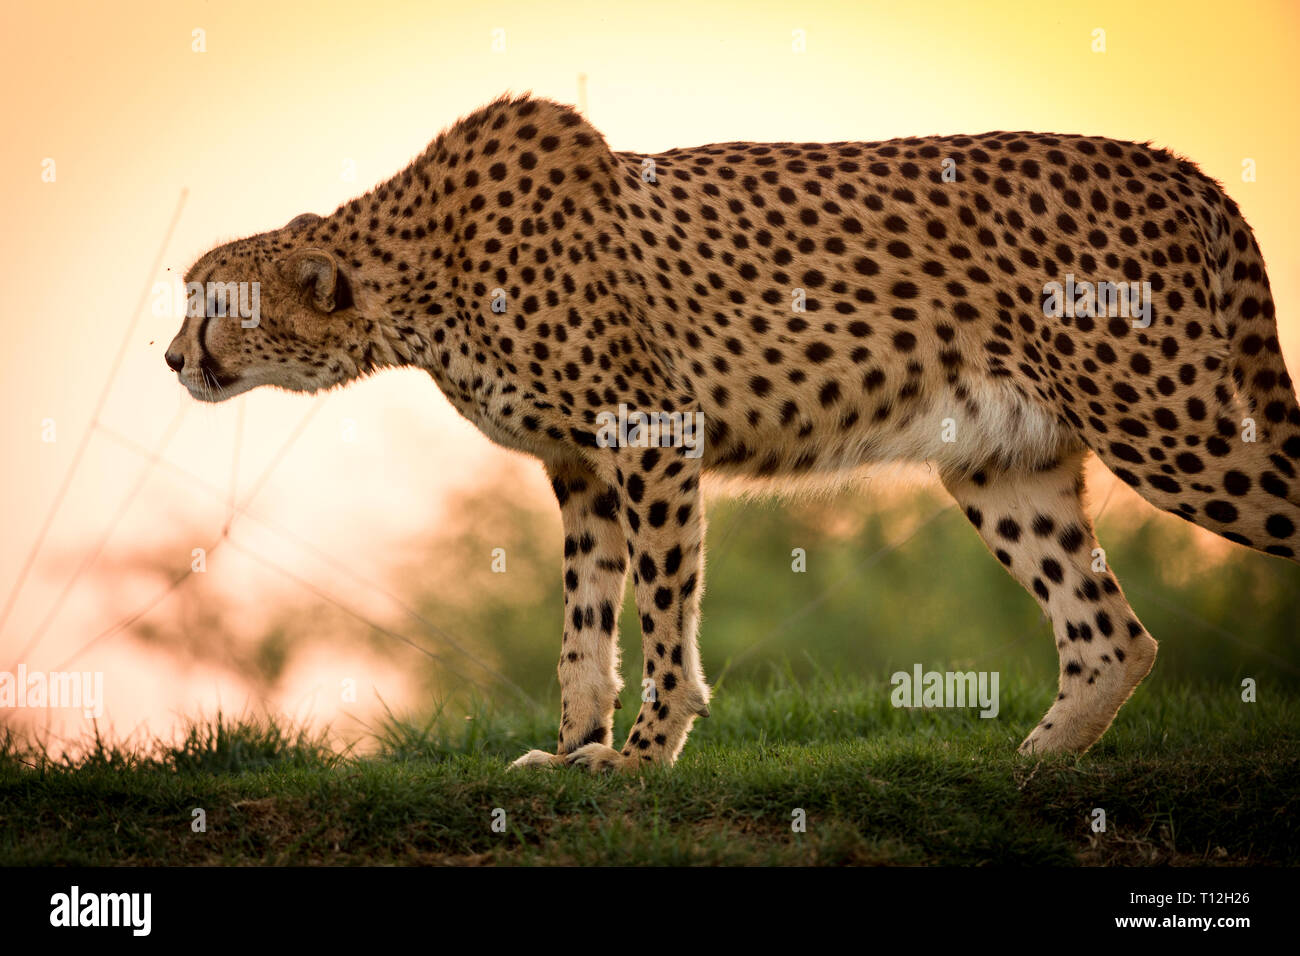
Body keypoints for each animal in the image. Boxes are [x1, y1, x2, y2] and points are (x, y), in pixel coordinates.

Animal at [165, 93, 1300, 771]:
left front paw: (642, 757)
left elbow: (663, 613)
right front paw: (572, 755)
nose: (172, 357)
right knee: (1111, 634)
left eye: (214, 303)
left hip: (1174, 424)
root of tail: (1175, 164)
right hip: (1001, 459)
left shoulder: (652, 432)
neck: (412, 282)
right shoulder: (581, 465)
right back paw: (1036, 768)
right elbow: (584, 625)